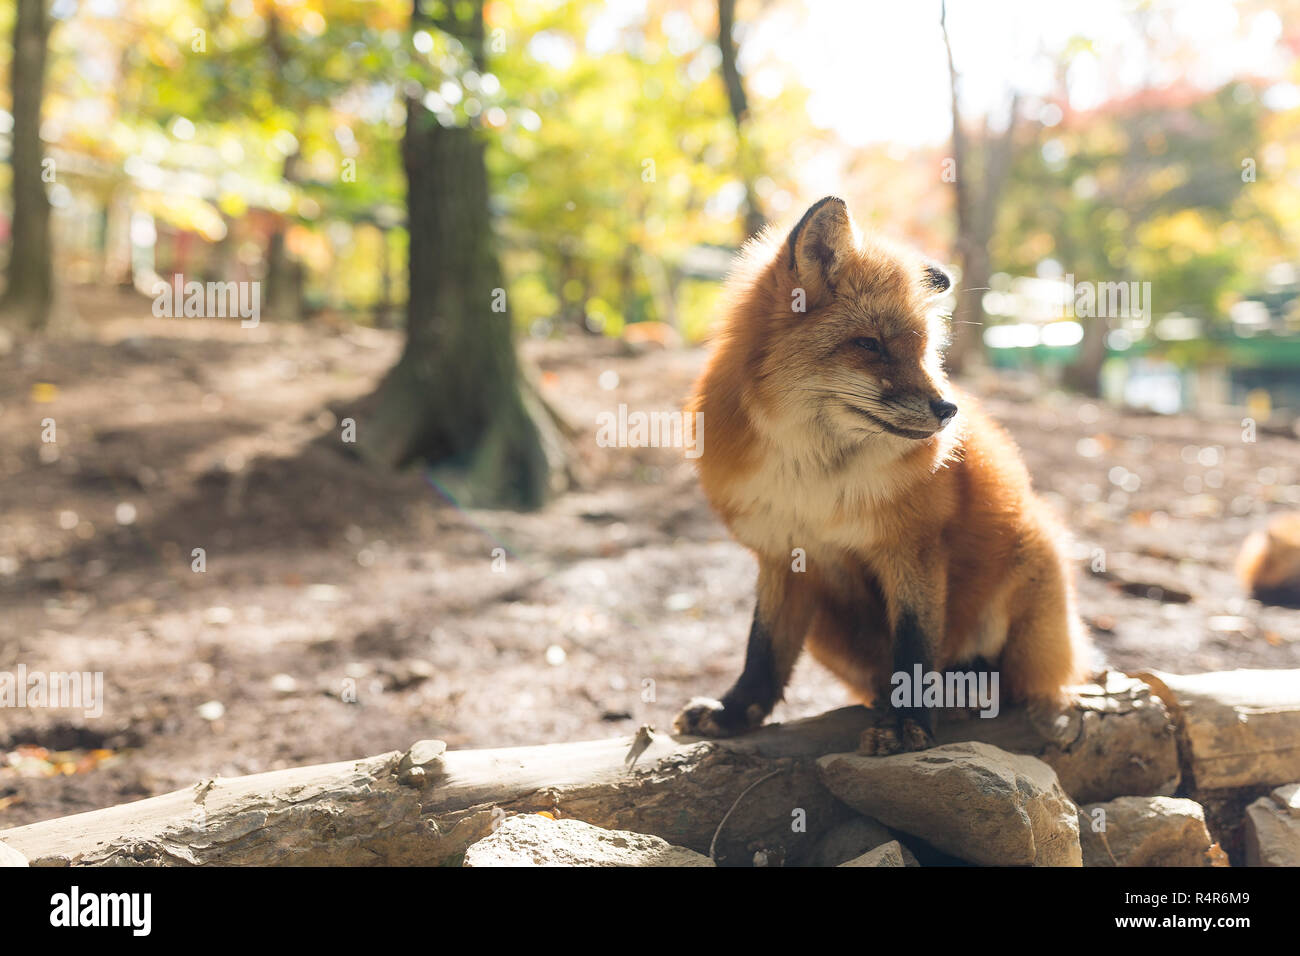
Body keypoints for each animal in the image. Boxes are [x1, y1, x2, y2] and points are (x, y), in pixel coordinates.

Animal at [673, 196, 1088, 752]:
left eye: (923, 349)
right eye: (870, 345)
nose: (949, 410)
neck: (815, 482)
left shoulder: (912, 548)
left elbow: (913, 649)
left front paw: (907, 722)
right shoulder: (782, 554)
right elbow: (763, 649)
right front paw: (736, 712)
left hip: (1032, 557)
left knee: (1015, 681)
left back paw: (966, 689)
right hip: (828, 627)